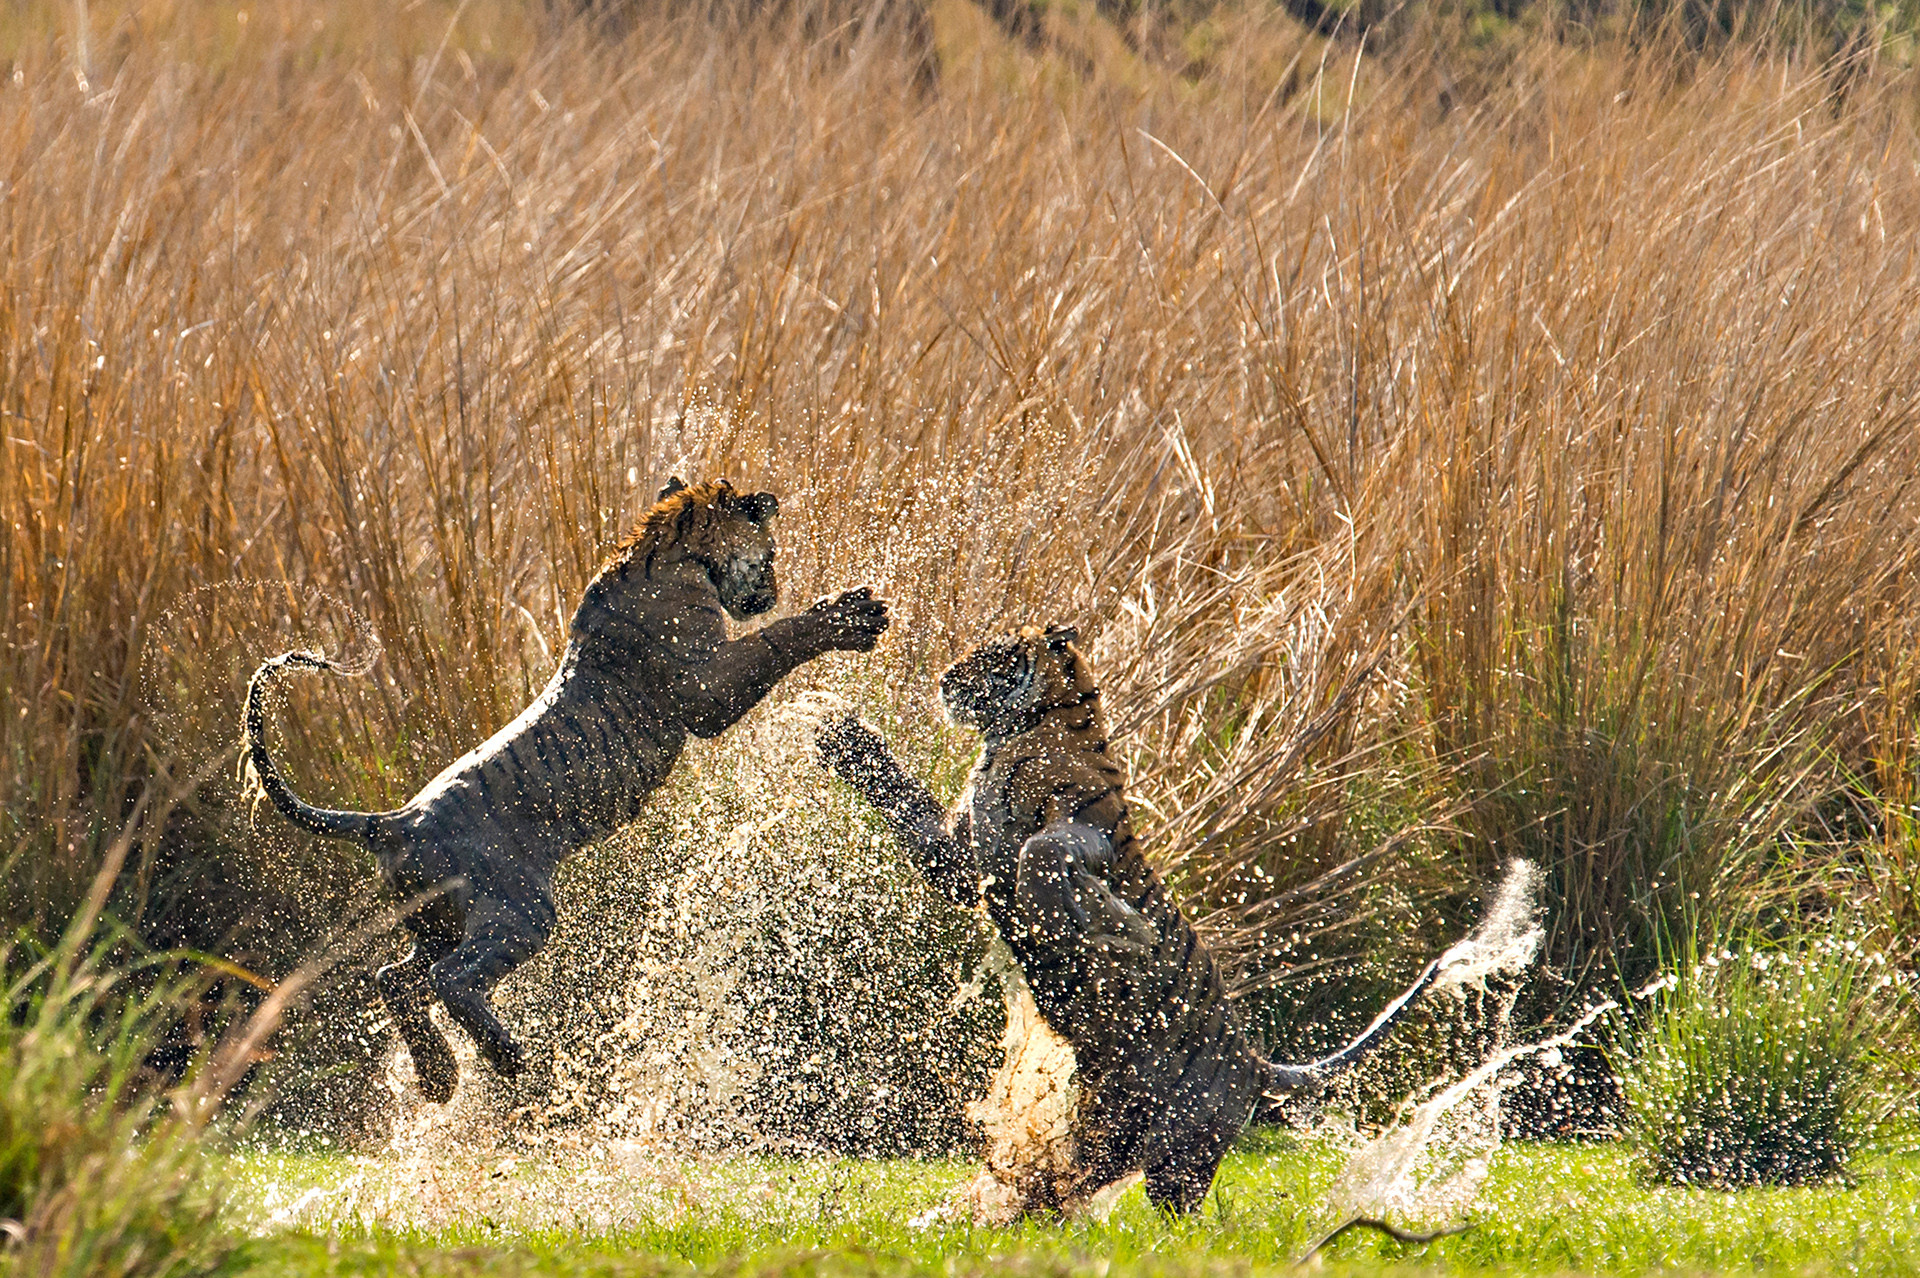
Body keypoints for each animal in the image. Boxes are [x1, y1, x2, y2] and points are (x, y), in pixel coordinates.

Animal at [244, 477, 890, 1104]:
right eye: (771, 555)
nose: (774, 588)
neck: (667, 547)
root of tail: (394, 820)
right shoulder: (707, 689)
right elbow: (781, 638)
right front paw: (857, 614)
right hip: (518, 911)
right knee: (448, 979)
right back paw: (506, 1060)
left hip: (438, 924)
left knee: (394, 978)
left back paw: (438, 1077)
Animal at [816, 624, 1448, 1215]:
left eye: (993, 654)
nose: (944, 680)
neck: (1020, 730)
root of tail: (1253, 1062)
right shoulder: (960, 859)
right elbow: (906, 802)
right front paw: (839, 731)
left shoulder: (1080, 838)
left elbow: (1040, 855)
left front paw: (1098, 929)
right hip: (1112, 1126)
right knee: (1072, 1181)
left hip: (1182, 1150)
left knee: (1185, 1222)